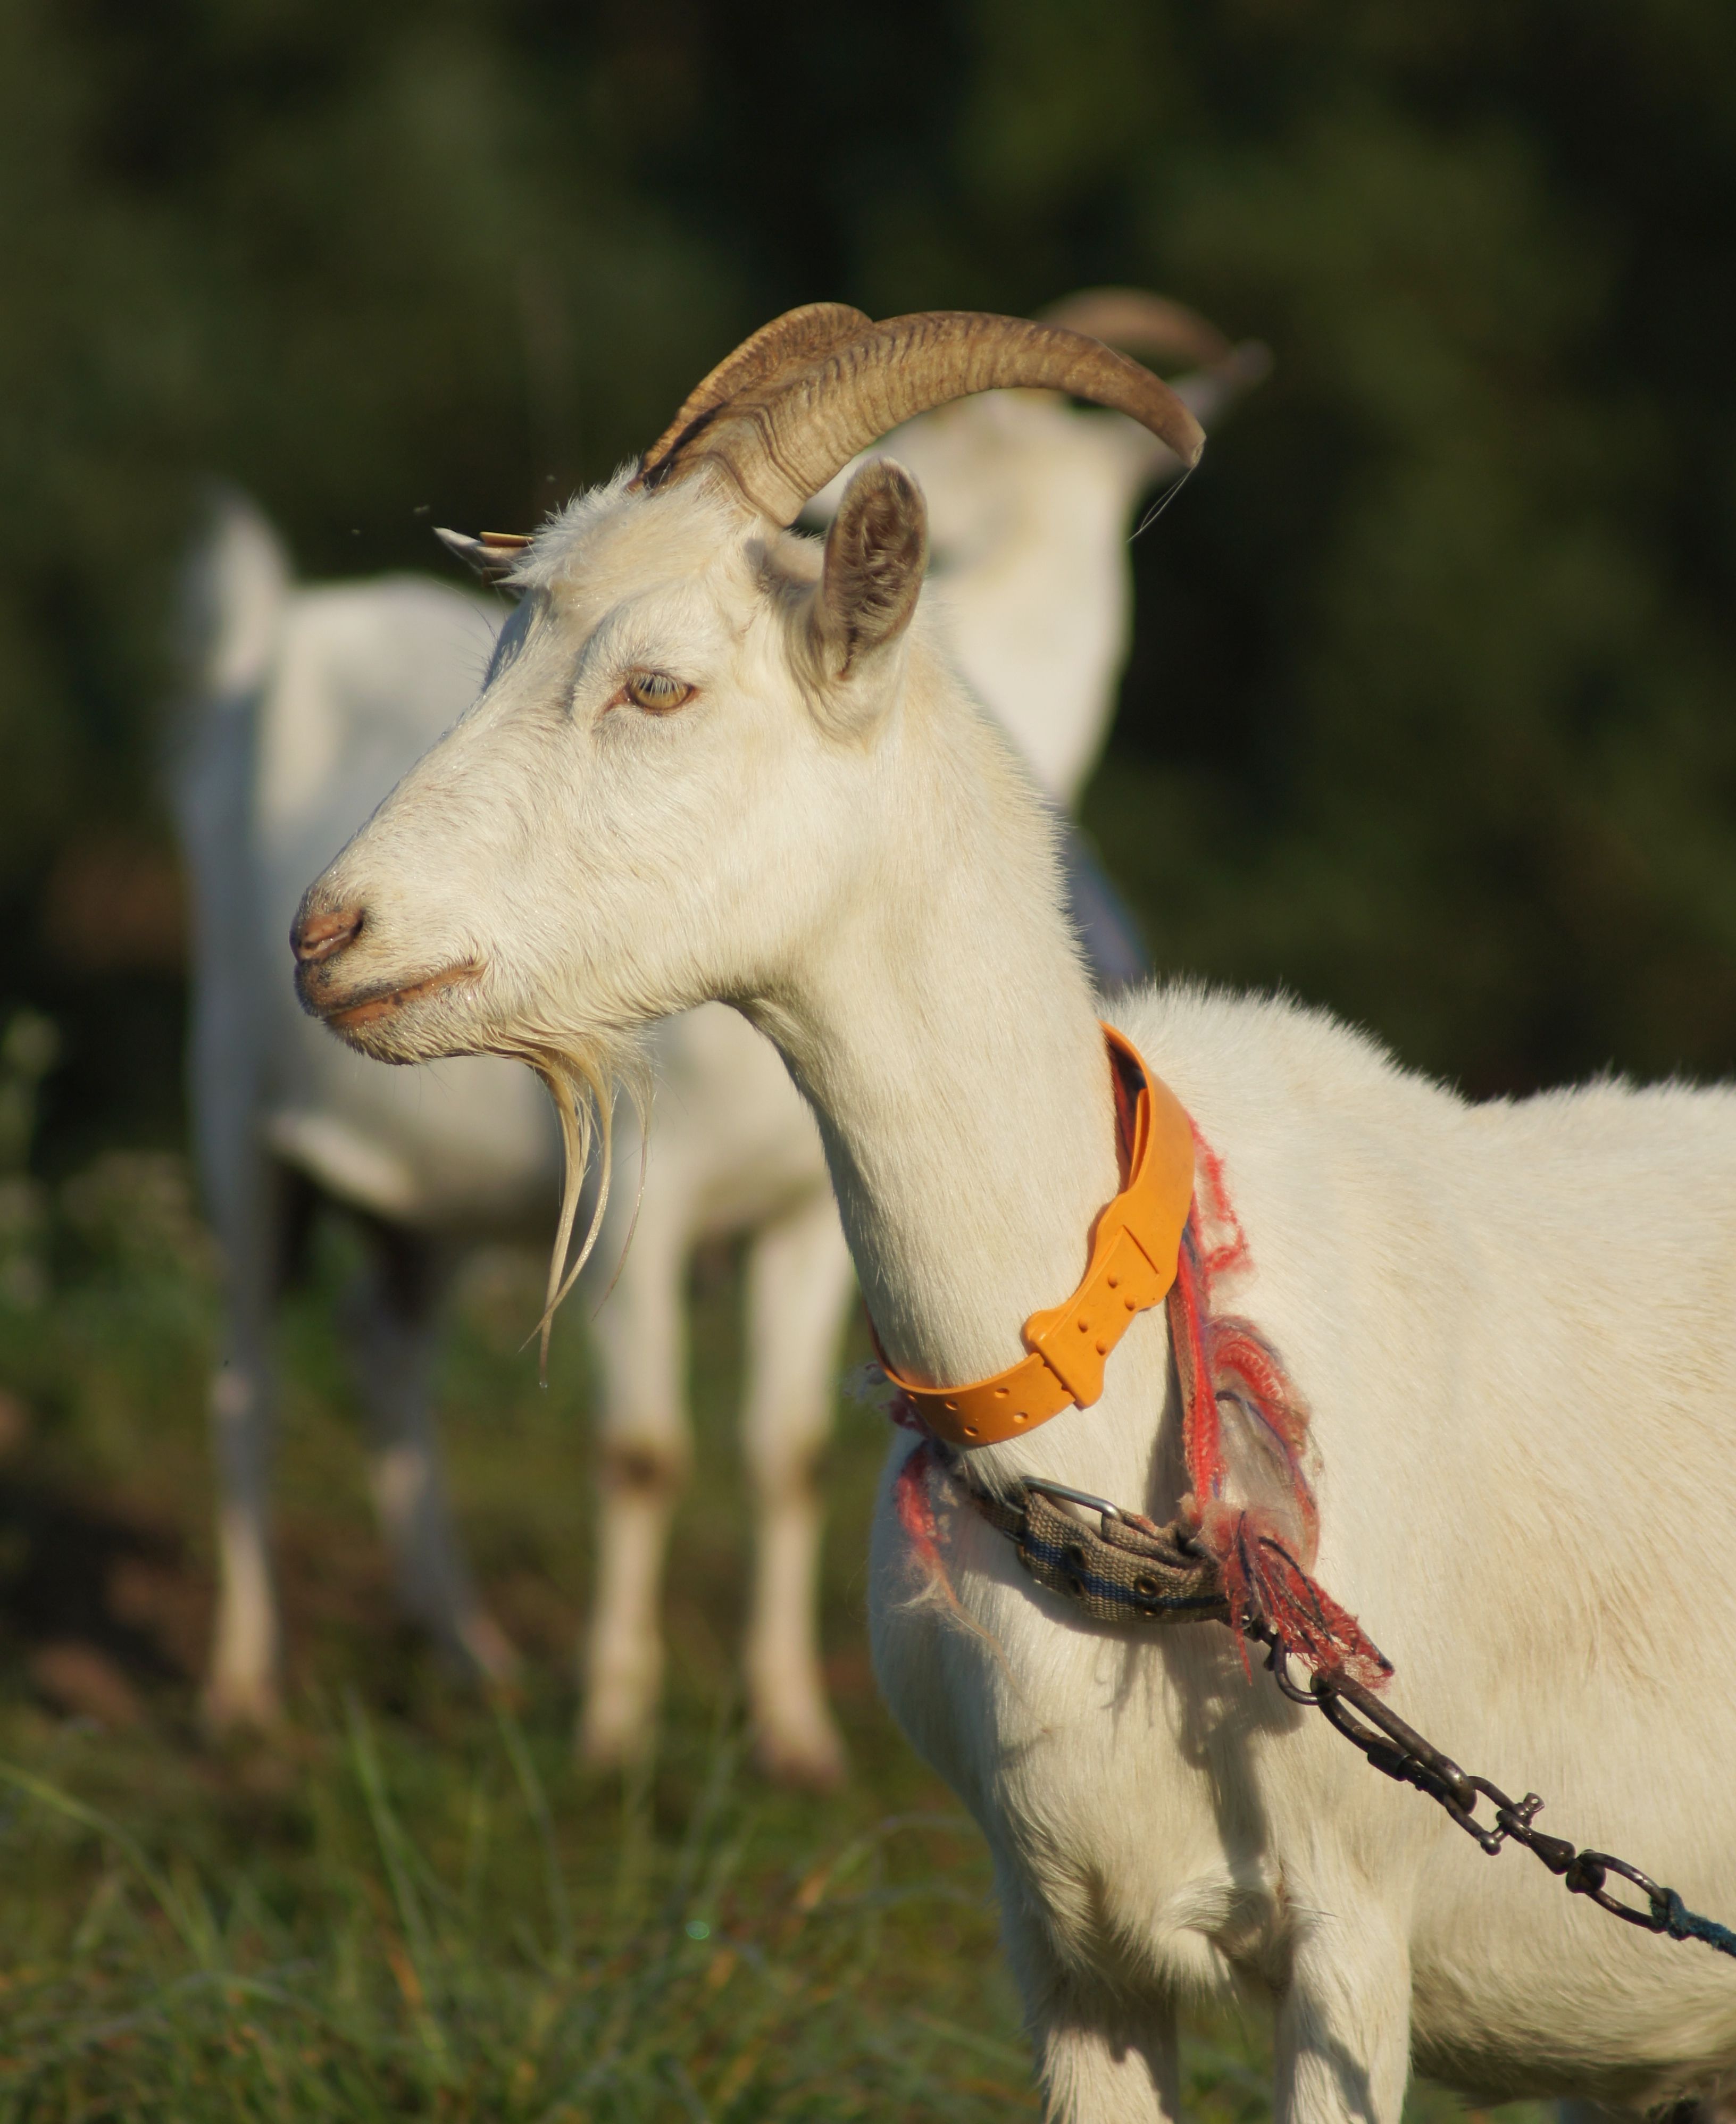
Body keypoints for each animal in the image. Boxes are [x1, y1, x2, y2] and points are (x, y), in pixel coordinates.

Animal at [292, 305, 1736, 2122]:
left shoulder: (1353, 1937)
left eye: (657, 683)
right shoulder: (1063, 1932)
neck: (1114, 1388)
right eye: (497, 657)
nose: (329, 934)